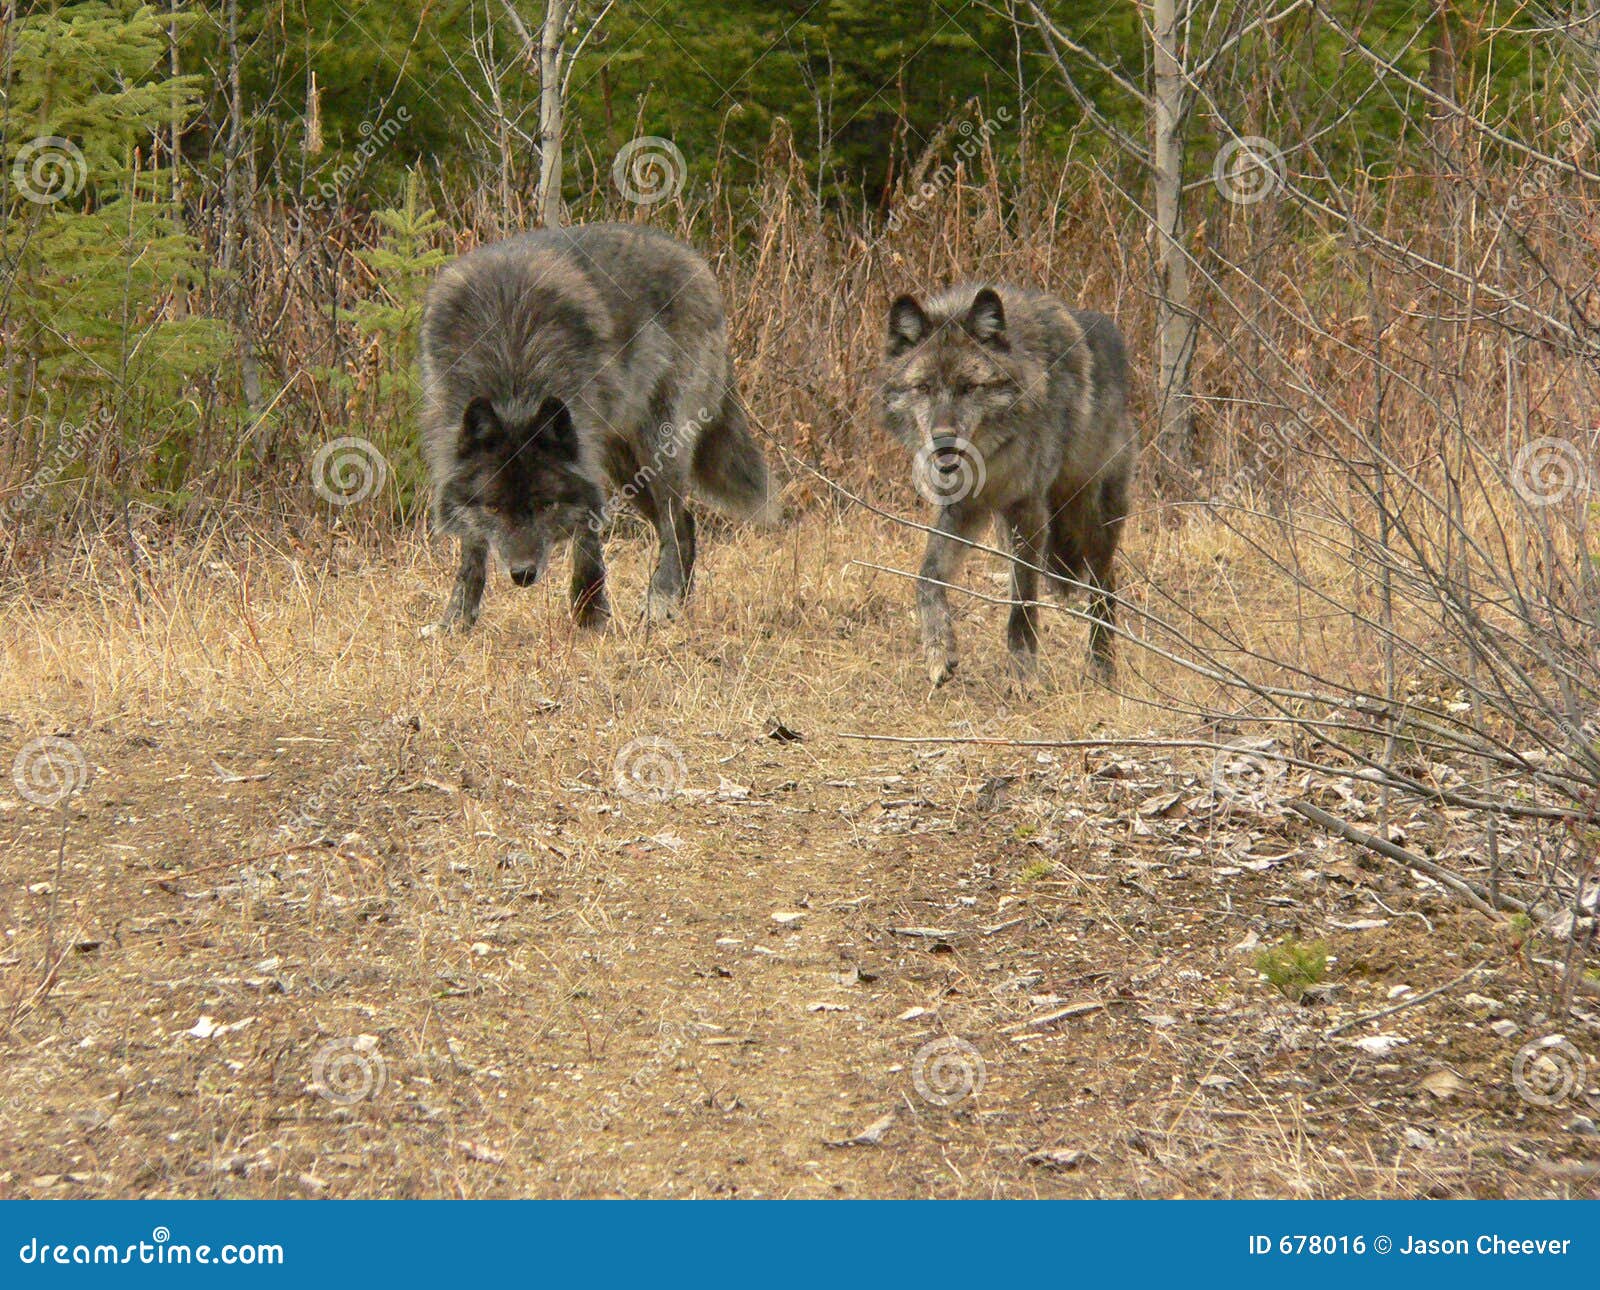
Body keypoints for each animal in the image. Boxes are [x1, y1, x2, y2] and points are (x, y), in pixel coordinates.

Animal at [419, 222, 772, 633]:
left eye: (546, 505)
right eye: (492, 507)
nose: (523, 575)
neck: (511, 368)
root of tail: (697, 263)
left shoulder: (585, 445)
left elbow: (587, 541)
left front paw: (590, 614)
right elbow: (471, 552)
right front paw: (456, 622)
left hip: (658, 446)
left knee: (673, 521)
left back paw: (660, 601)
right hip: (626, 467)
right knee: (685, 521)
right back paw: (677, 604)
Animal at [877, 284, 1134, 684]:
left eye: (969, 387)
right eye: (923, 387)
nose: (943, 440)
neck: (990, 456)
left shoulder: (1027, 510)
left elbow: (1023, 599)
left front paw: (1023, 672)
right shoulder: (964, 508)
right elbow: (927, 577)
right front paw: (939, 650)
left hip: (1092, 519)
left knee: (1104, 585)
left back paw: (1102, 666)